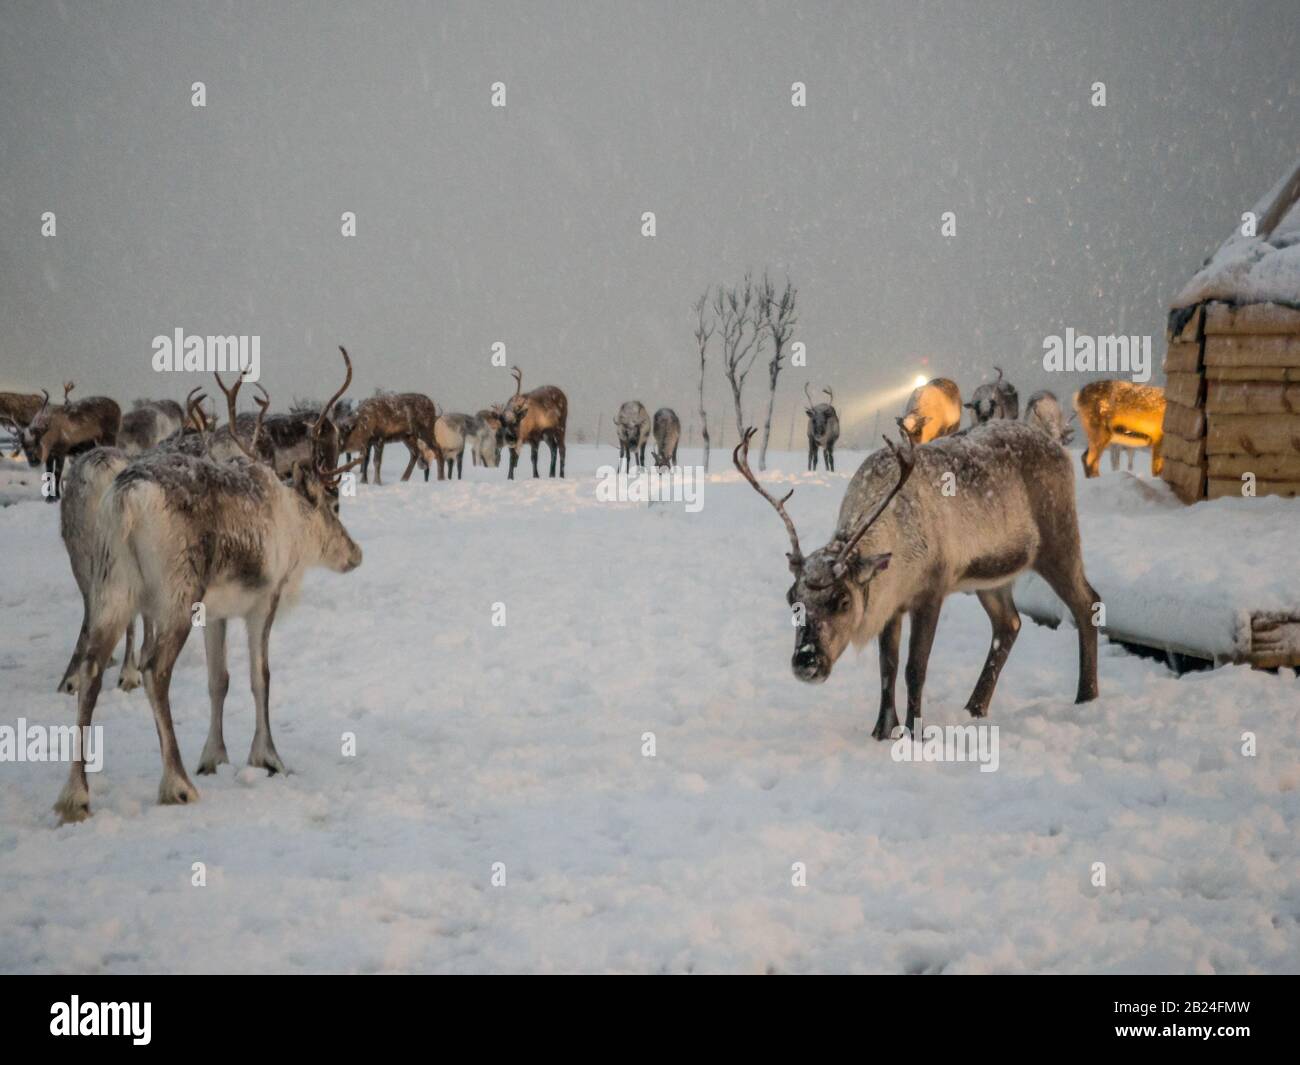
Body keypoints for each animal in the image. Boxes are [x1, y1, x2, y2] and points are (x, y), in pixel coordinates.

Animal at [53, 353, 362, 823]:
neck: (290, 522)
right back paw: (177, 783)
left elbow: (220, 680)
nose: (355, 553)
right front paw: (267, 757)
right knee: (154, 670)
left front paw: (213, 756)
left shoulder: (216, 614)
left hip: (111, 588)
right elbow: (259, 677)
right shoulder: (262, 601)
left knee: (90, 669)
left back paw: (75, 796)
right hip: (175, 599)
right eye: (330, 507)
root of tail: (126, 497)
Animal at [734, 417, 1098, 741]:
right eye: (791, 598)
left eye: (843, 600)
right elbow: (888, 666)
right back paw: (974, 707)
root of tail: (1057, 446)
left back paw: (1087, 696)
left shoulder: (931, 592)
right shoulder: (891, 603)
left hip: (1059, 540)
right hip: (991, 578)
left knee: (1087, 602)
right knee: (1008, 623)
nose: (806, 662)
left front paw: (914, 733)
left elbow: (915, 668)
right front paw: (882, 731)